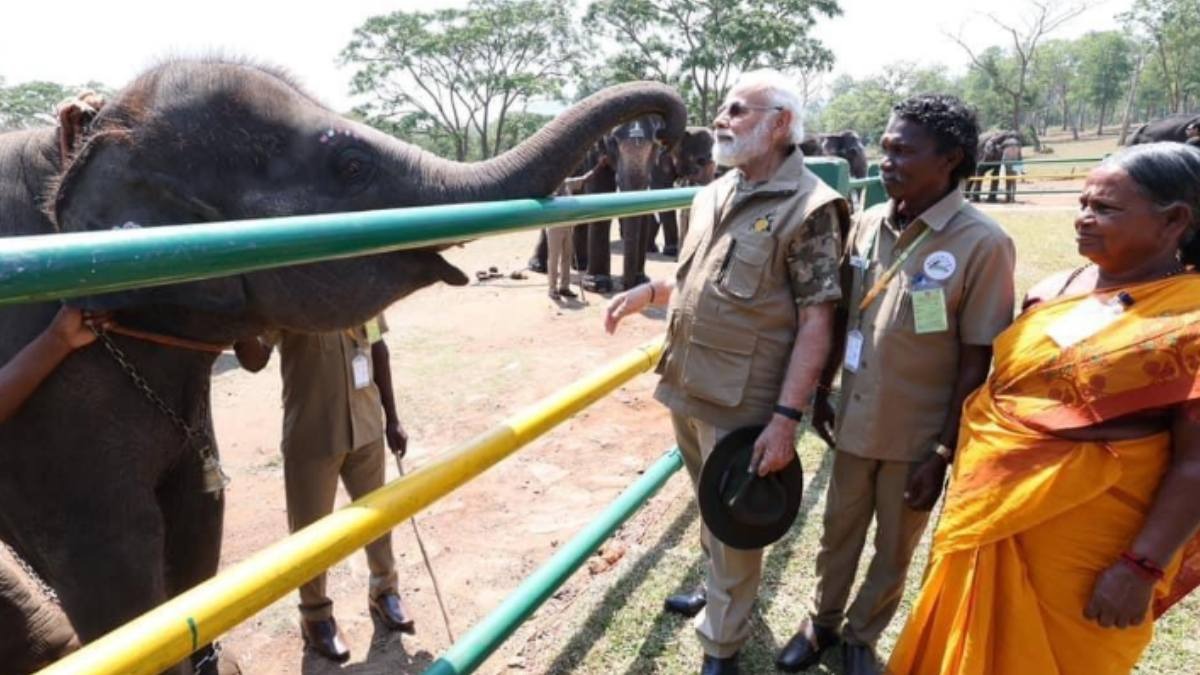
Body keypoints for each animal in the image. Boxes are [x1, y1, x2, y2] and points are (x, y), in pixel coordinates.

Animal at [0, 58, 686, 673]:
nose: (669, 125)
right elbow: (114, 564)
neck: (90, 138)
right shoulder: (54, 423)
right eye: (352, 167)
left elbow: (198, 518)